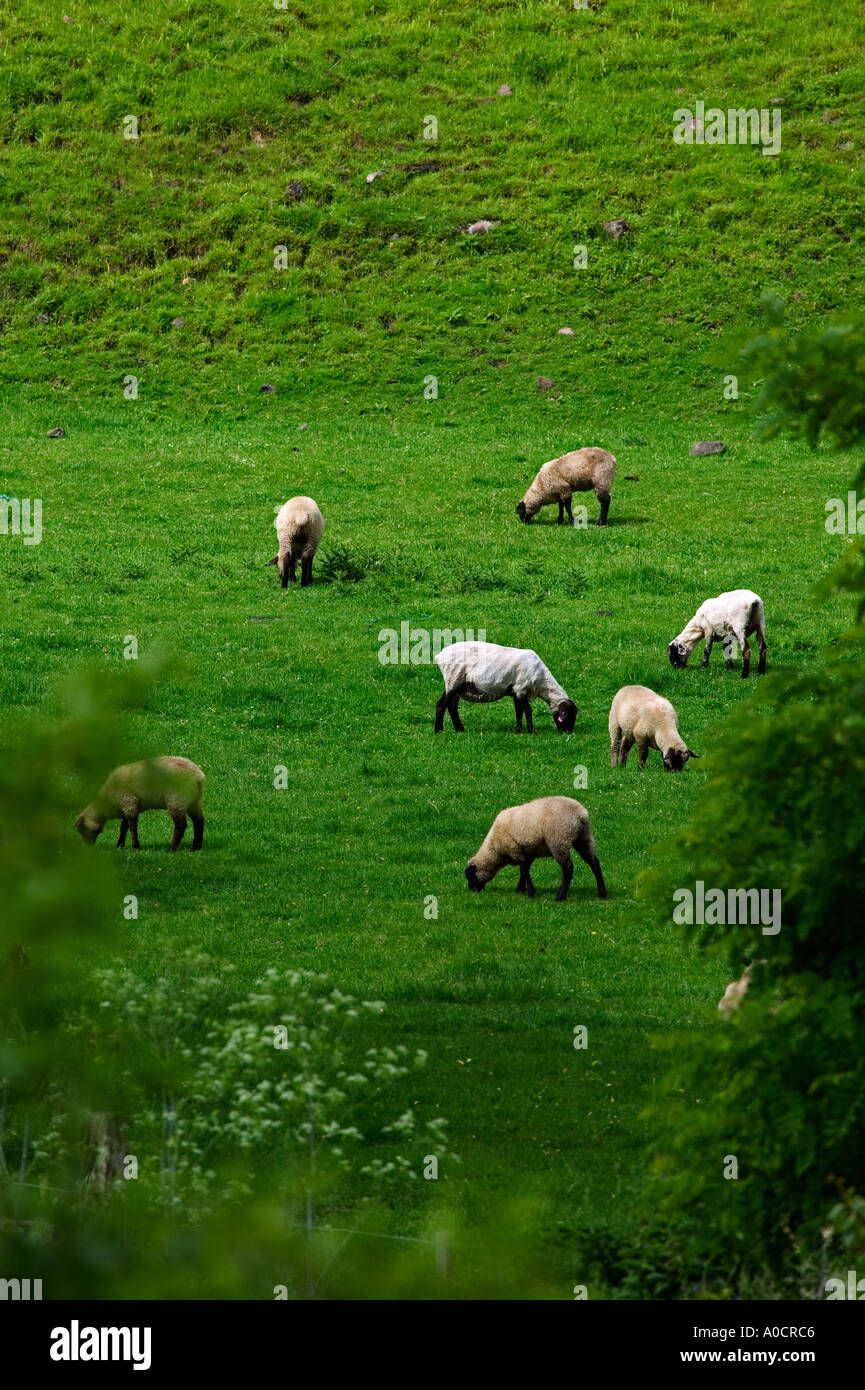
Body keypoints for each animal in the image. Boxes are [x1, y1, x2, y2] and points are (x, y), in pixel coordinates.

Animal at [75, 756, 205, 852]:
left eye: (82, 830)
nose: (88, 847)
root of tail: (197, 775)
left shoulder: (128, 803)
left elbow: (132, 827)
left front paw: (135, 846)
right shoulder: (129, 806)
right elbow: (124, 826)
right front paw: (120, 845)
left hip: (176, 800)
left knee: (181, 825)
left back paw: (171, 848)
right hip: (194, 801)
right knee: (199, 821)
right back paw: (196, 848)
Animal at [433, 640, 577, 734]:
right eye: (568, 715)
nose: (568, 732)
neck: (542, 682)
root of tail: (440, 656)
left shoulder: (516, 692)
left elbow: (519, 711)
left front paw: (518, 731)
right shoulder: (521, 689)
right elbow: (528, 711)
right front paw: (531, 731)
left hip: (459, 686)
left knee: (451, 706)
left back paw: (460, 729)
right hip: (453, 679)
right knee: (441, 705)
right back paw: (439, 731)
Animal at [465, 796, 606, 901]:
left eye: (470, 876)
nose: (472, 891)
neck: (494, 849)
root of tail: (580, 814)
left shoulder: (515, 849)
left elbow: (523, 870)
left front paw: (530, 892)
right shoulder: (528, 852)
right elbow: (524, 871)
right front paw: (520, 889)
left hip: (559, 839)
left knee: (568, 868)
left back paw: (560, 897)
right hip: (583, 838)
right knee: (594, 863)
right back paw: (601, 893)